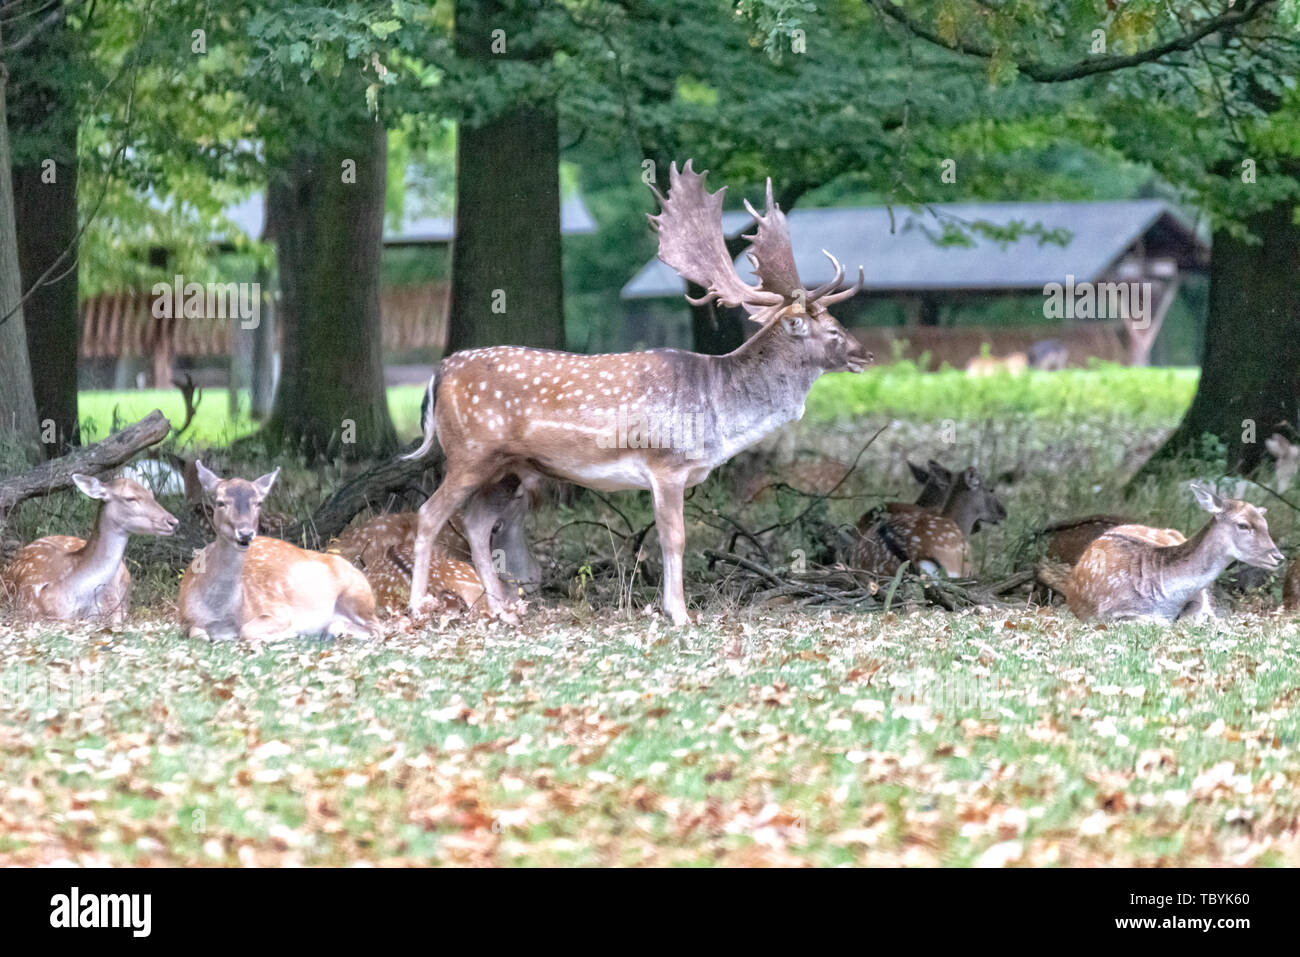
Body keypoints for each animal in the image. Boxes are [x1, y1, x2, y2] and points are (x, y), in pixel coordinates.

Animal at [179, 462, 379, 640]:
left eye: (258, 503)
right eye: (220, 502)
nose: (245, 534)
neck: (221, 616)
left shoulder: (277, 610)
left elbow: (246, 630)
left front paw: (288, 633)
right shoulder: (185, 620)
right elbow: (198, 634)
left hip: (357, 595)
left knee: (376, 627)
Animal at [403, 160, 871, 625]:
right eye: (832, 330)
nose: (864, 354)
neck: (718, 412)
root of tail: (439, 372)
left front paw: (674, 608)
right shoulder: (666, 463)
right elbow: (675, 538)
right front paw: (680, 613)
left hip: (506, 467)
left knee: (477, 523)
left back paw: (502, 609)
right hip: (469, 452)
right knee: (429, 514)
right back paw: (417, 607)